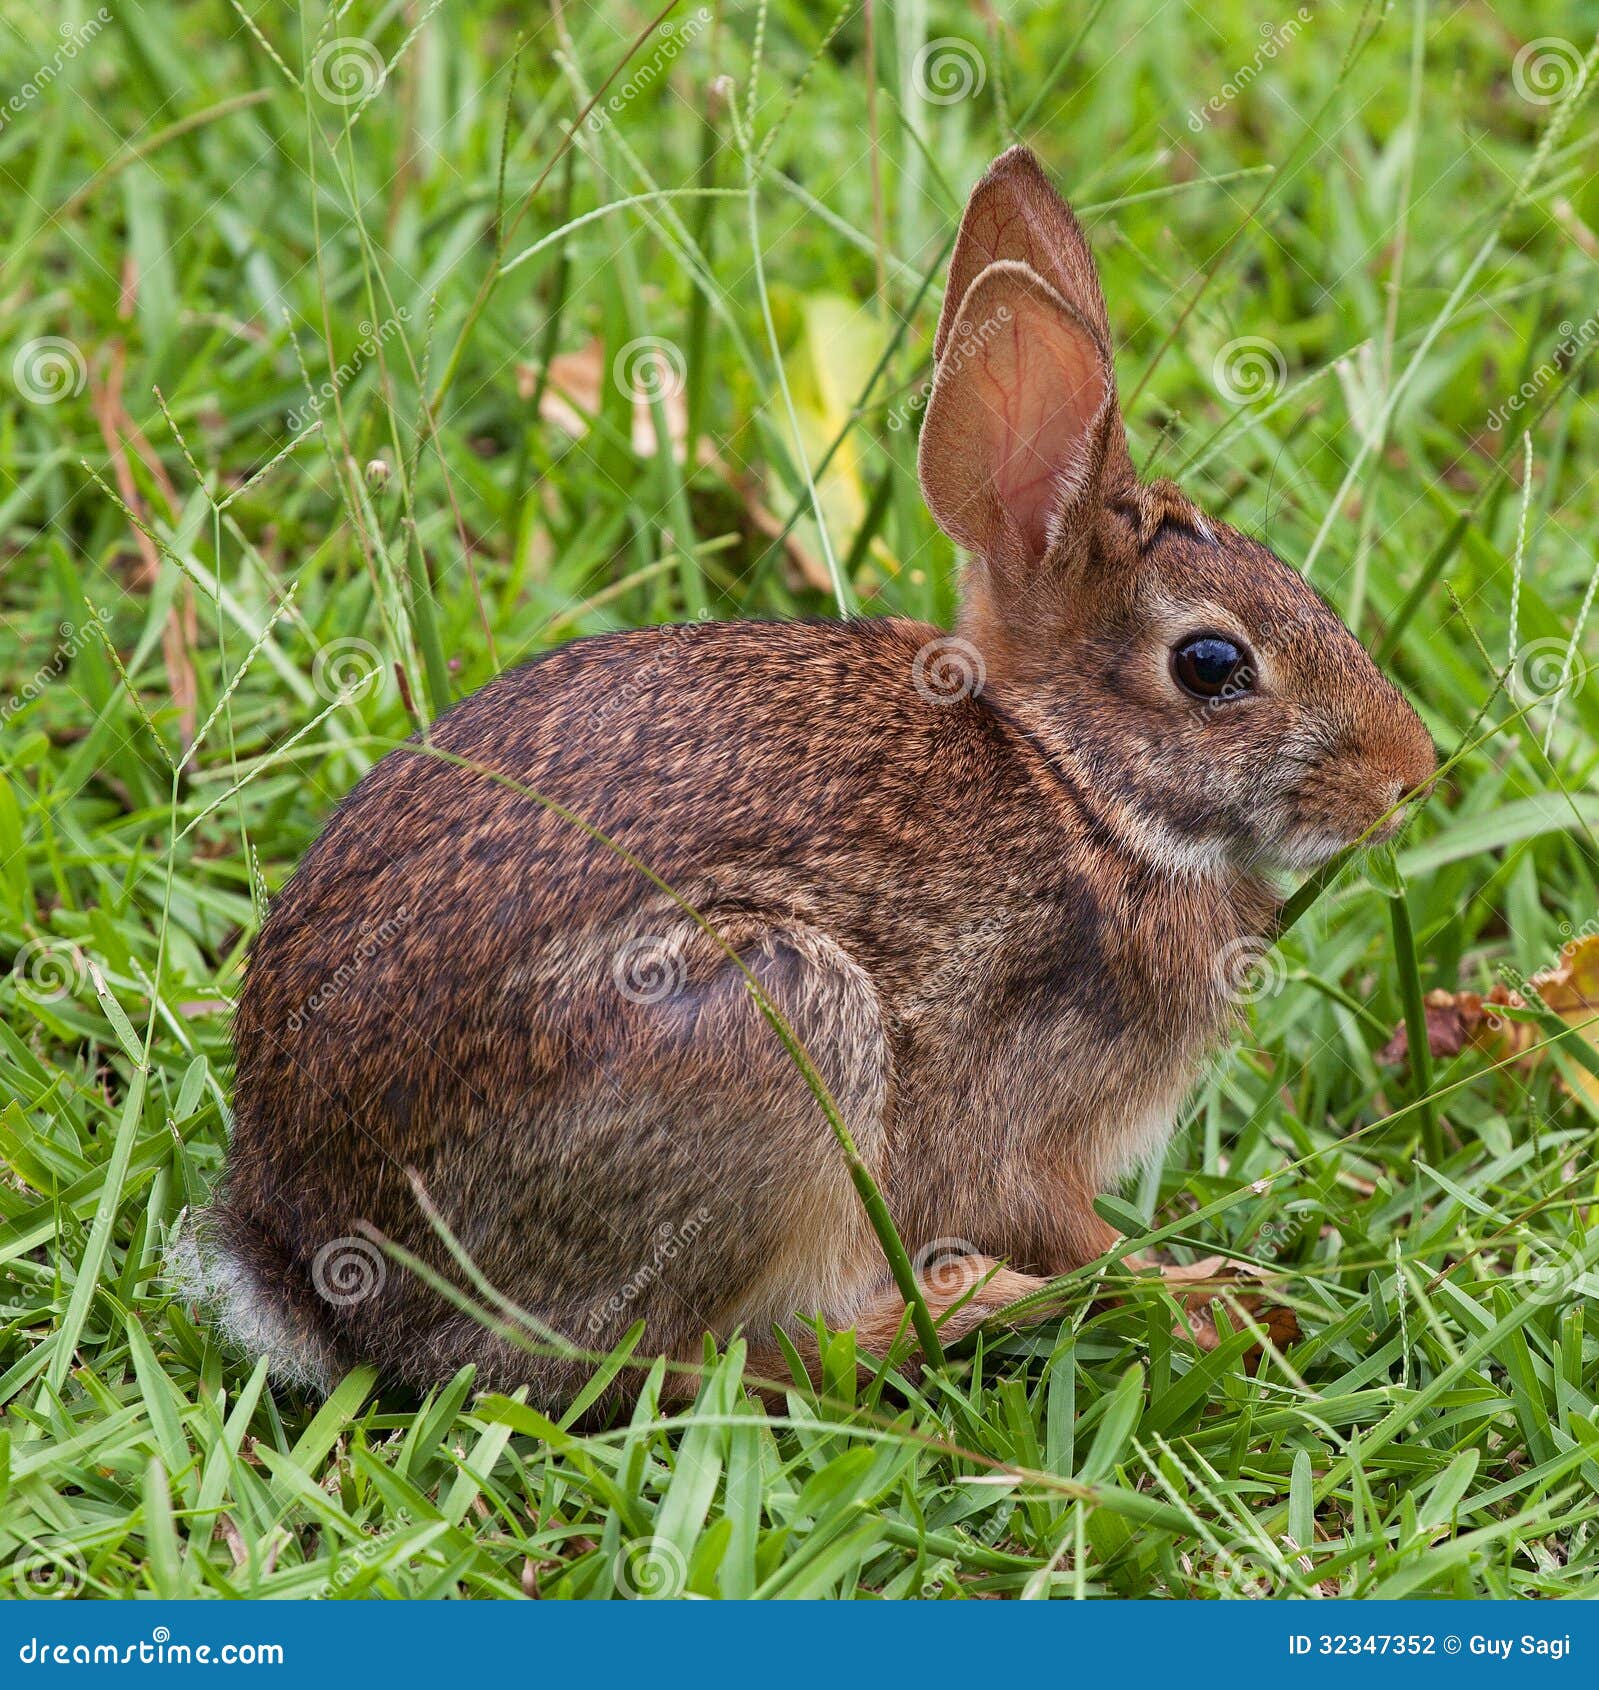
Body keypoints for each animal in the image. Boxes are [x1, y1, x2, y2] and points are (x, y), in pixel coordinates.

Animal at [178, 145, 1435, 1406]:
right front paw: (1203, 1296)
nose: (1409, 775)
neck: (1080, 788)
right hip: (775, 1021)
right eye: (1213, 665)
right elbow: (1068, 1226)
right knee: (679, 1368)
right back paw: (964, 1307)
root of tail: (316, 1276)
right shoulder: (1022, 1121)